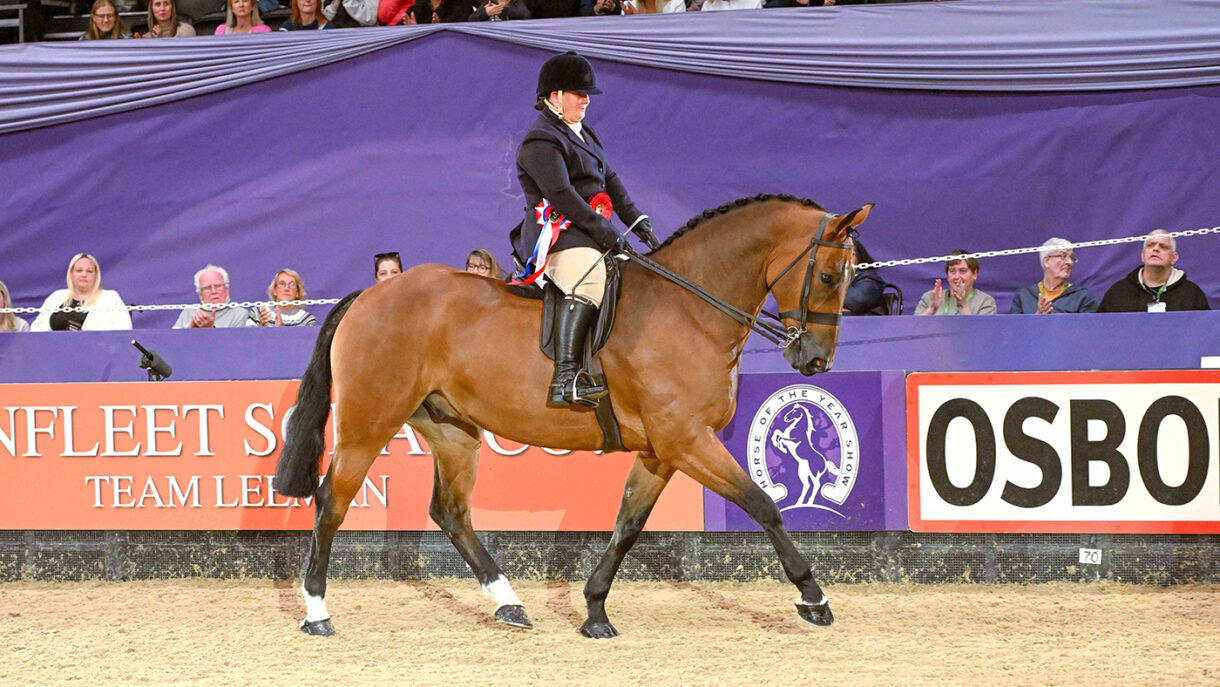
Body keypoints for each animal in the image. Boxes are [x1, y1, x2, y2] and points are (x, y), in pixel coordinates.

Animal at [274, 193, 872, 638]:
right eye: (827, 276)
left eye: (850, 278)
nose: (815, 361)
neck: (689, 309)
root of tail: (370, 295)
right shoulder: (688, 441)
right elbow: (762, 504)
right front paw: (813, 598)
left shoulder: (662, 450)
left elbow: (627, 524)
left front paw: (595, 610)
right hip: (368, 421)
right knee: (332, 502)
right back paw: (317, 612)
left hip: (450, 428)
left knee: (451, 512)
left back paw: (509, 604)